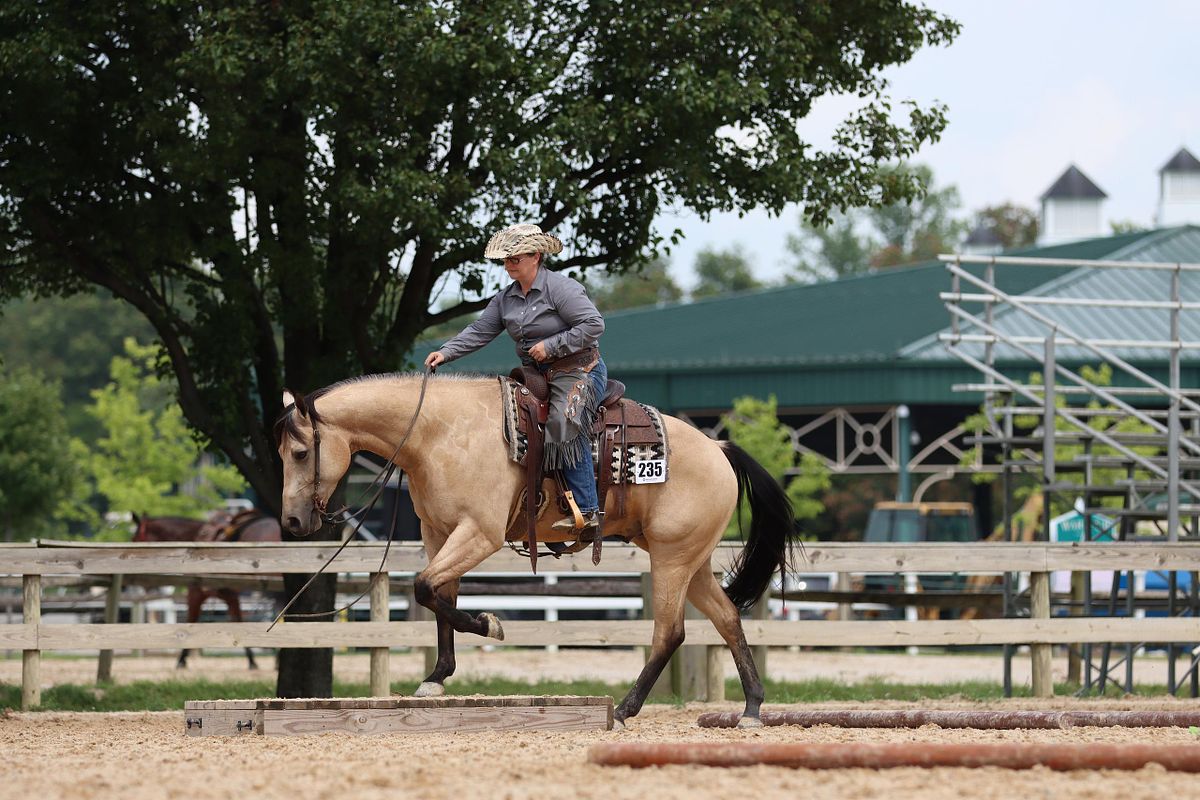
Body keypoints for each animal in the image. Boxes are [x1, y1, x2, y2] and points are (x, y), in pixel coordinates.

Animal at [132, 509, 281, 669]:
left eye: (134, 538)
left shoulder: (197, 592)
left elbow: (193, 619)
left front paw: (181, 660)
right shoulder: (230, 595)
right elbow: (237, 620)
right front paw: (252, 661)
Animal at [275, 372, 797, 730]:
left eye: (300, 453)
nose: (293, 522)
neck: (440, 434)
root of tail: (718, 446)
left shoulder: (478, 534)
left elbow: (426, 589)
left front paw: (491, 624)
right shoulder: (439, 534)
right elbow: (439, 597)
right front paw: (436, 677)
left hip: (672, 558)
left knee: (669, 633)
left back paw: (625, 710)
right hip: (693, 561)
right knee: (727, 618)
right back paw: (752, 707)